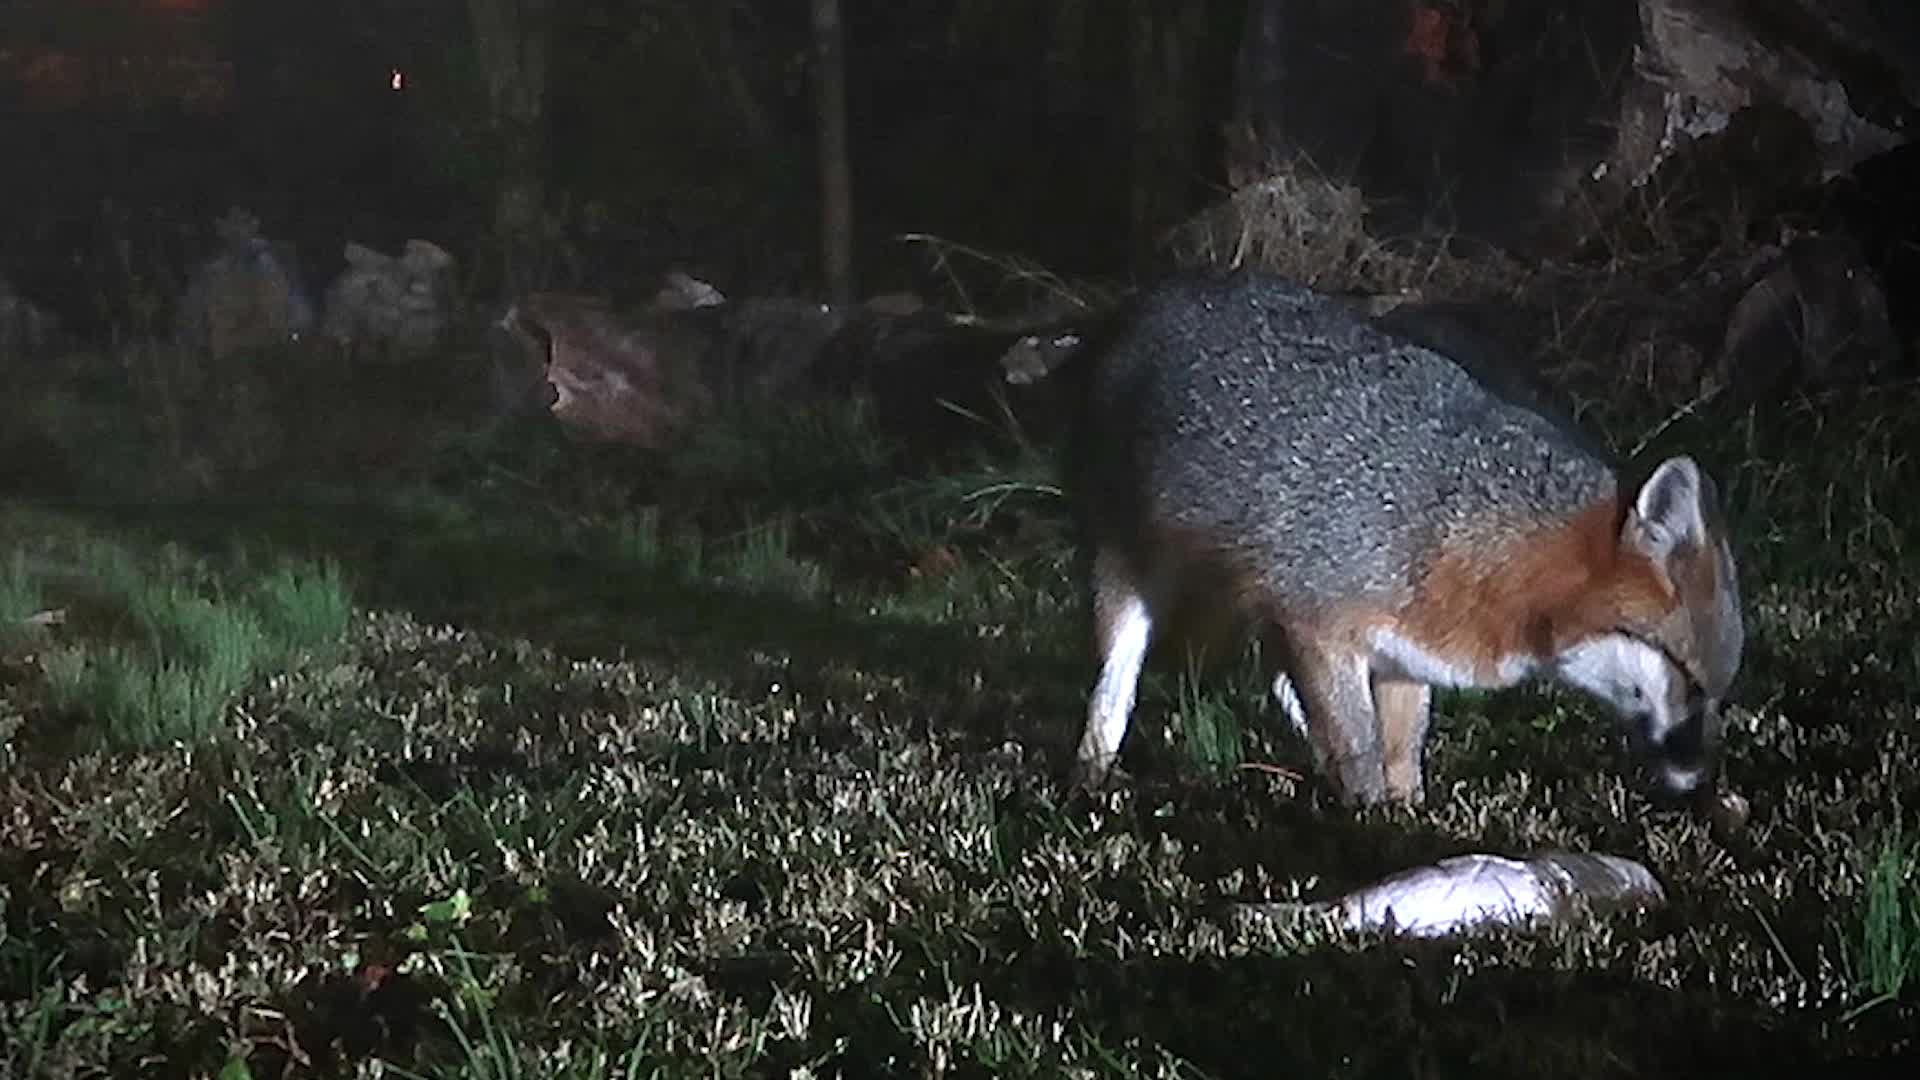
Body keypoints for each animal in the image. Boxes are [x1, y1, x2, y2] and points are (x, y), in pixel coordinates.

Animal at [1068, 269, 1745, 807]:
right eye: (1690, 683)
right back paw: (1092, 777)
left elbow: (1399, 750)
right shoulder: (1321, 630)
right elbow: (1359, 748)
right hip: (1131, 580)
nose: (1701, 787)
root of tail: (1152, 297)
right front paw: (1371, 830)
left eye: (1720, 694)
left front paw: (1408, 822)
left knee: (1281, 686)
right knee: (1115, 687)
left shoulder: (1403, 656)